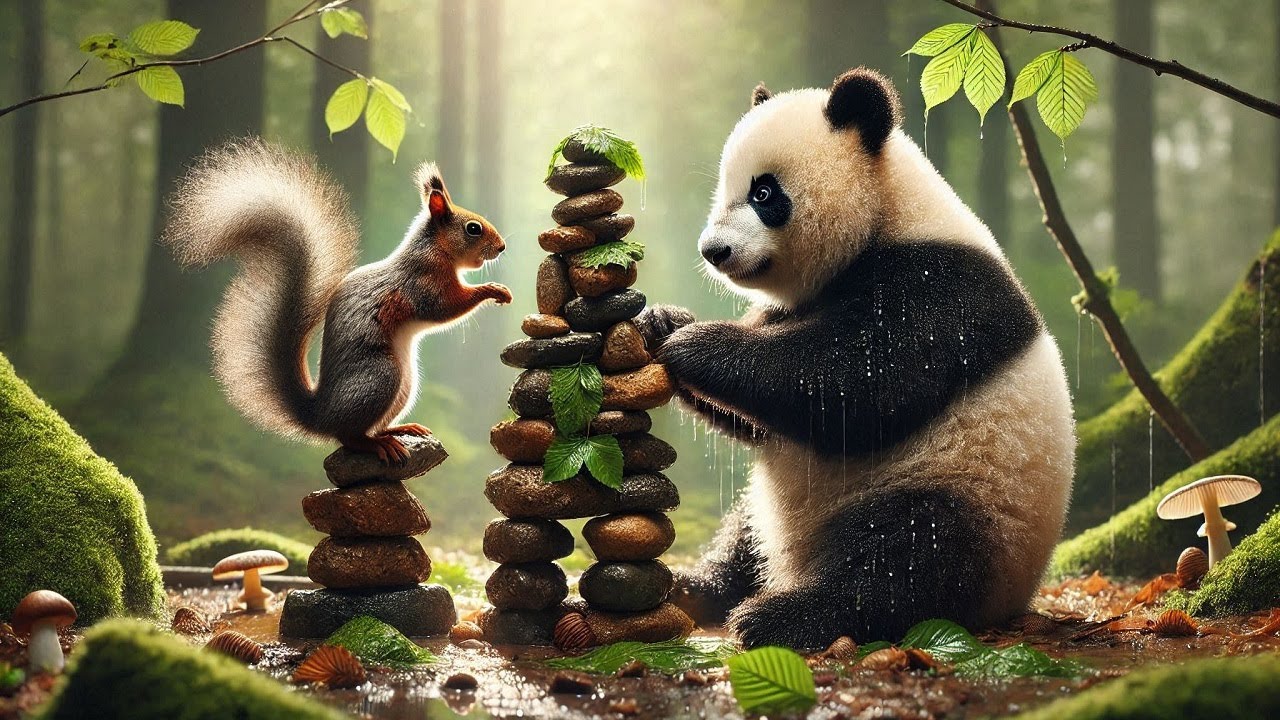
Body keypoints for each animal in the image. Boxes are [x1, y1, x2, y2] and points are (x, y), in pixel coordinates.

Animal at [635, 68, 1075, 649]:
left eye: (764, 192)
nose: (714, 251)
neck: (888, 214)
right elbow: (765, 420)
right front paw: (663, 322)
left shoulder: (939, 286)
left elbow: (857, 385)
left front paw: (697, 344)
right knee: (745, 533)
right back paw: (695, 588)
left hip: (967, 488)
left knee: (908, 555)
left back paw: (787, 615)